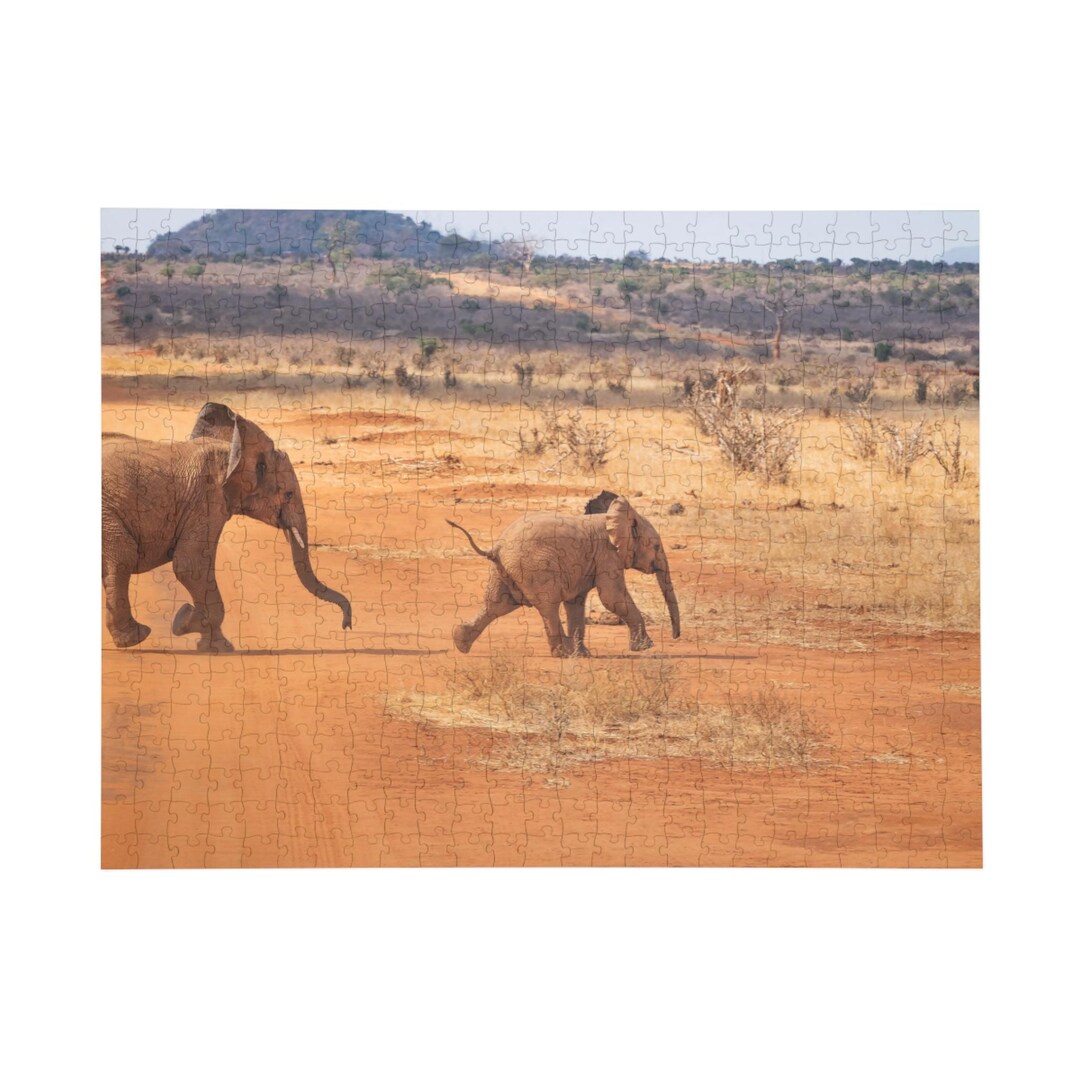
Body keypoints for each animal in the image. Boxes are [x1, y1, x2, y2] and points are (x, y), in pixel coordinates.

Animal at [102, 402, 352, 652]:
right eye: (289, 494)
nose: (346, 625)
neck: (232, 451)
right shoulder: (206, 498)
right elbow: (191, 565)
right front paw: (193, 628)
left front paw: (194, 629)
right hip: (108, 515)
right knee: (123, 557)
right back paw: (136, 637)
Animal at [447, 494, 680, 658]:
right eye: (656, 546)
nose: (675, 636)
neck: (615, 517)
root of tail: (497, 547)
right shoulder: (608, 554)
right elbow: (612, 597)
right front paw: (645, 648)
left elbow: (576, 602)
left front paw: (583, 655)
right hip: (535, 568)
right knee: (547, 606)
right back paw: (562, 653)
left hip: (504, 571)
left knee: (497, 605)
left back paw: (460, 643)